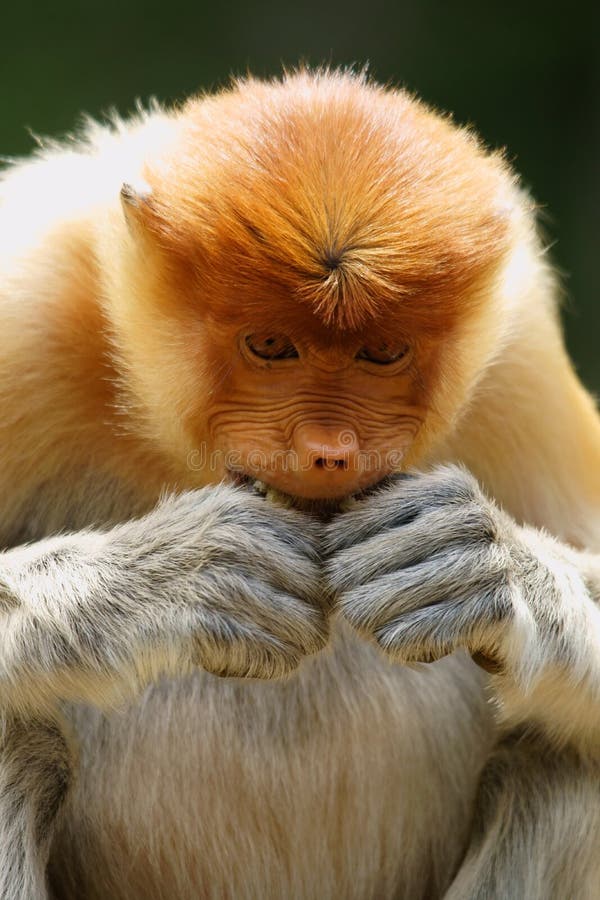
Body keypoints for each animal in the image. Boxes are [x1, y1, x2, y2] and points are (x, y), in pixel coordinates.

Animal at [0, 67, 598, 900]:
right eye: (270, 345)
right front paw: (192, 574)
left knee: (566, 762)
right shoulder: (22, 302)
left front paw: (474, 566)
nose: (326, 452)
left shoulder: (522, 357)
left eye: (382, 352)